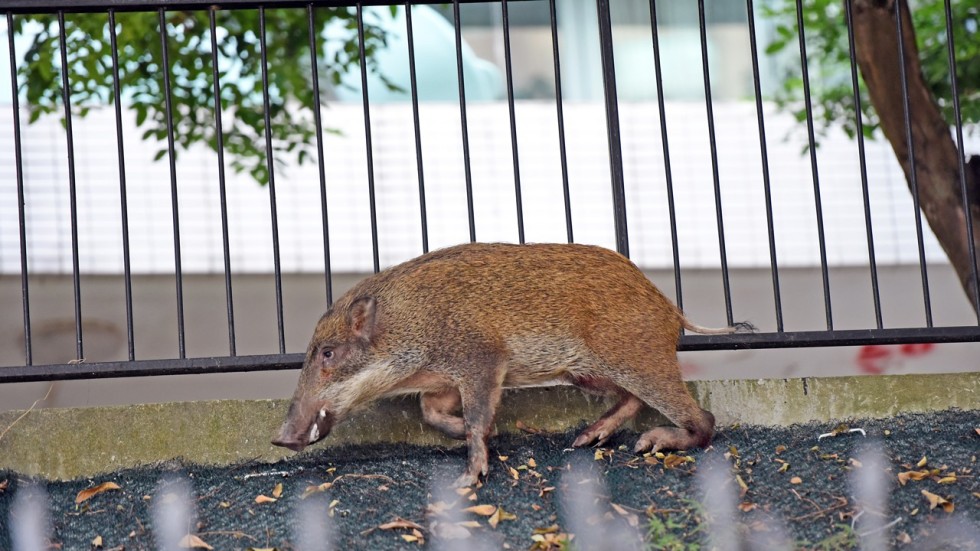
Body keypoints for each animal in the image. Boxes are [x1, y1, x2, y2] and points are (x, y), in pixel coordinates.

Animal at [272, 242, 751, 487]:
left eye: (328, 352)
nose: (280, 438)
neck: (411, 326)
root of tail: (671, 310)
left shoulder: (482, 360)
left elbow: (478, 415)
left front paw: (468, 479)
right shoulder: (442, 381)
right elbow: (429, 411)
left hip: (639, 359)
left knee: (703, 420)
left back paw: (648, 445)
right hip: (587, 372)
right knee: (631, 401)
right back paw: (585, 439)